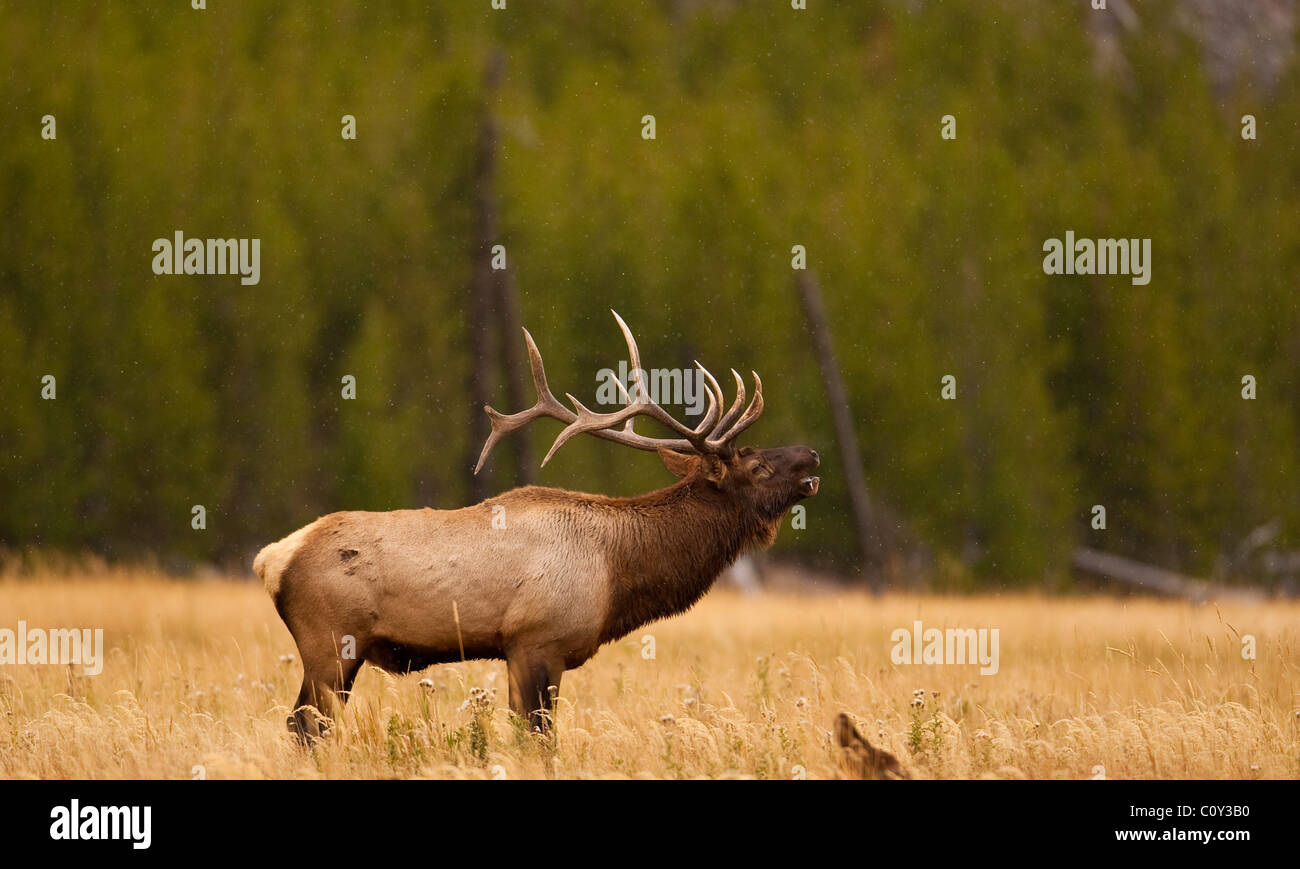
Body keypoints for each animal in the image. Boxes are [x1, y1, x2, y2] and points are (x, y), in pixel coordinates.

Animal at [254, 311, 820, 741]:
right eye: (757, 466)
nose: (813, 454)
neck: (618, 573)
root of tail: (271, 558)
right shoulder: (536, 642)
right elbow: (537, 739)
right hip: (330, 643)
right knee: (304, 726)